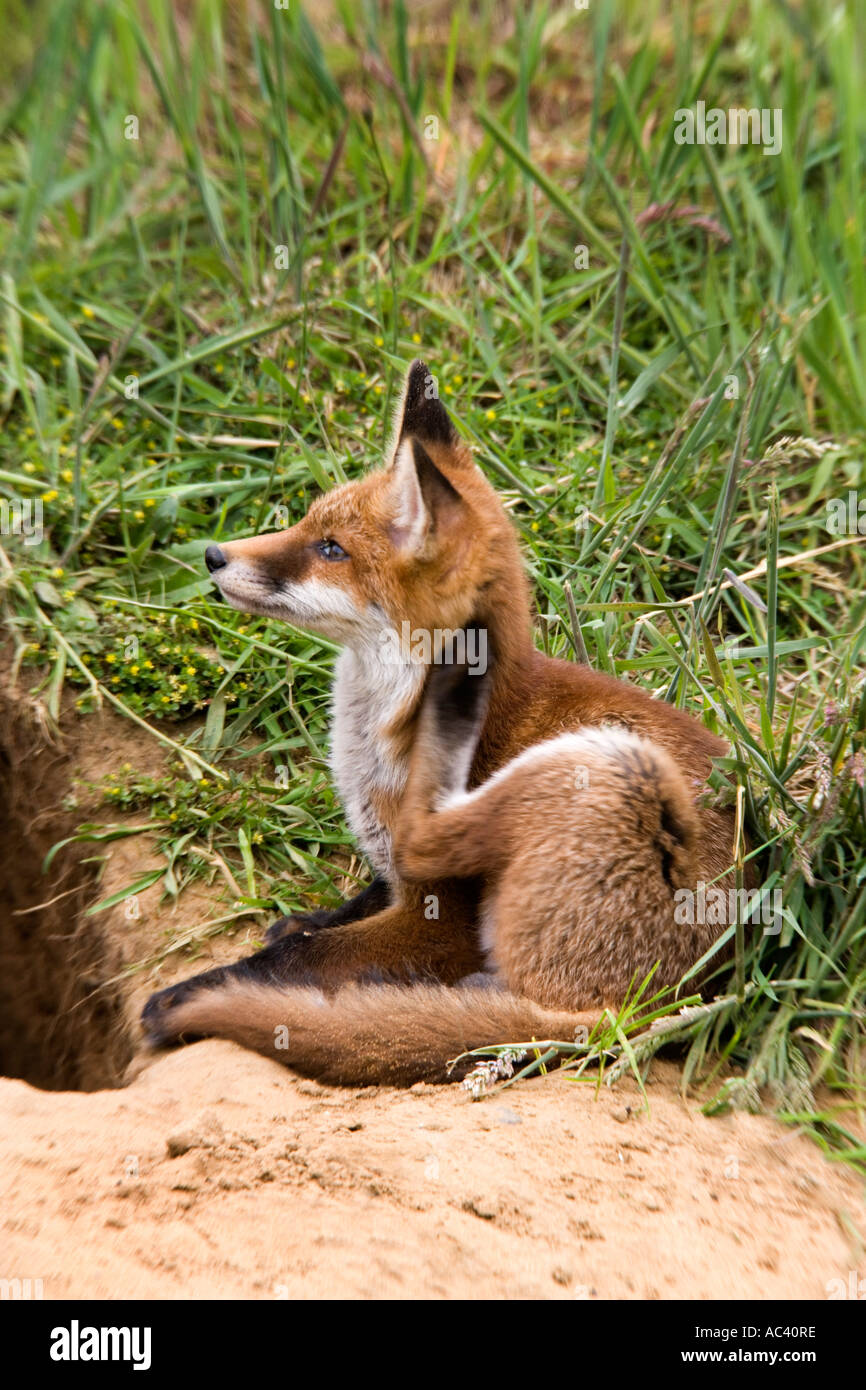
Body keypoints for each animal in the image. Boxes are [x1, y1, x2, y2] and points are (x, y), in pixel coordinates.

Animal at [141, 358, 739, 1085]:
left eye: (330, 549)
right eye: (307, 523)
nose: (212, 555)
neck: (380, 741)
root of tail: (656, 1007)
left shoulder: (439, 920)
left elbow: (297, 956)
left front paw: (205, 988)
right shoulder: (392, 882)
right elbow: (350, 905)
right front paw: (310, 919)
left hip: (597, 765)